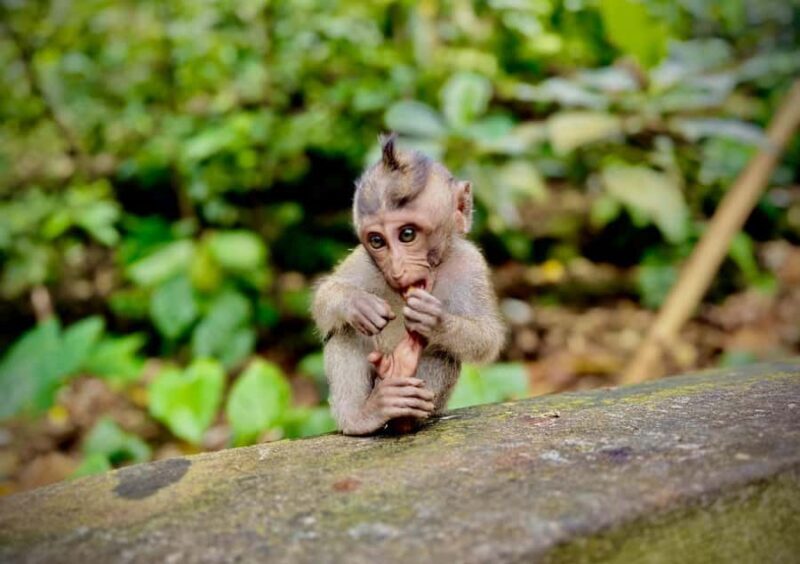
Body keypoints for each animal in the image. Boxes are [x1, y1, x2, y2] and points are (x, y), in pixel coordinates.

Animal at [312, 134, 505, 436]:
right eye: (377, 241)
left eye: (407, 234)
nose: (397, 268)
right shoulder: (365, 261)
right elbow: (324, 299)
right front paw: (357, 303)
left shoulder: (472, 265)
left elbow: (487, 337)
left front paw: (434, 320)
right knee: (347, 330)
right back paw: (366, 414)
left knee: (443, 350)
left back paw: (405, 413)